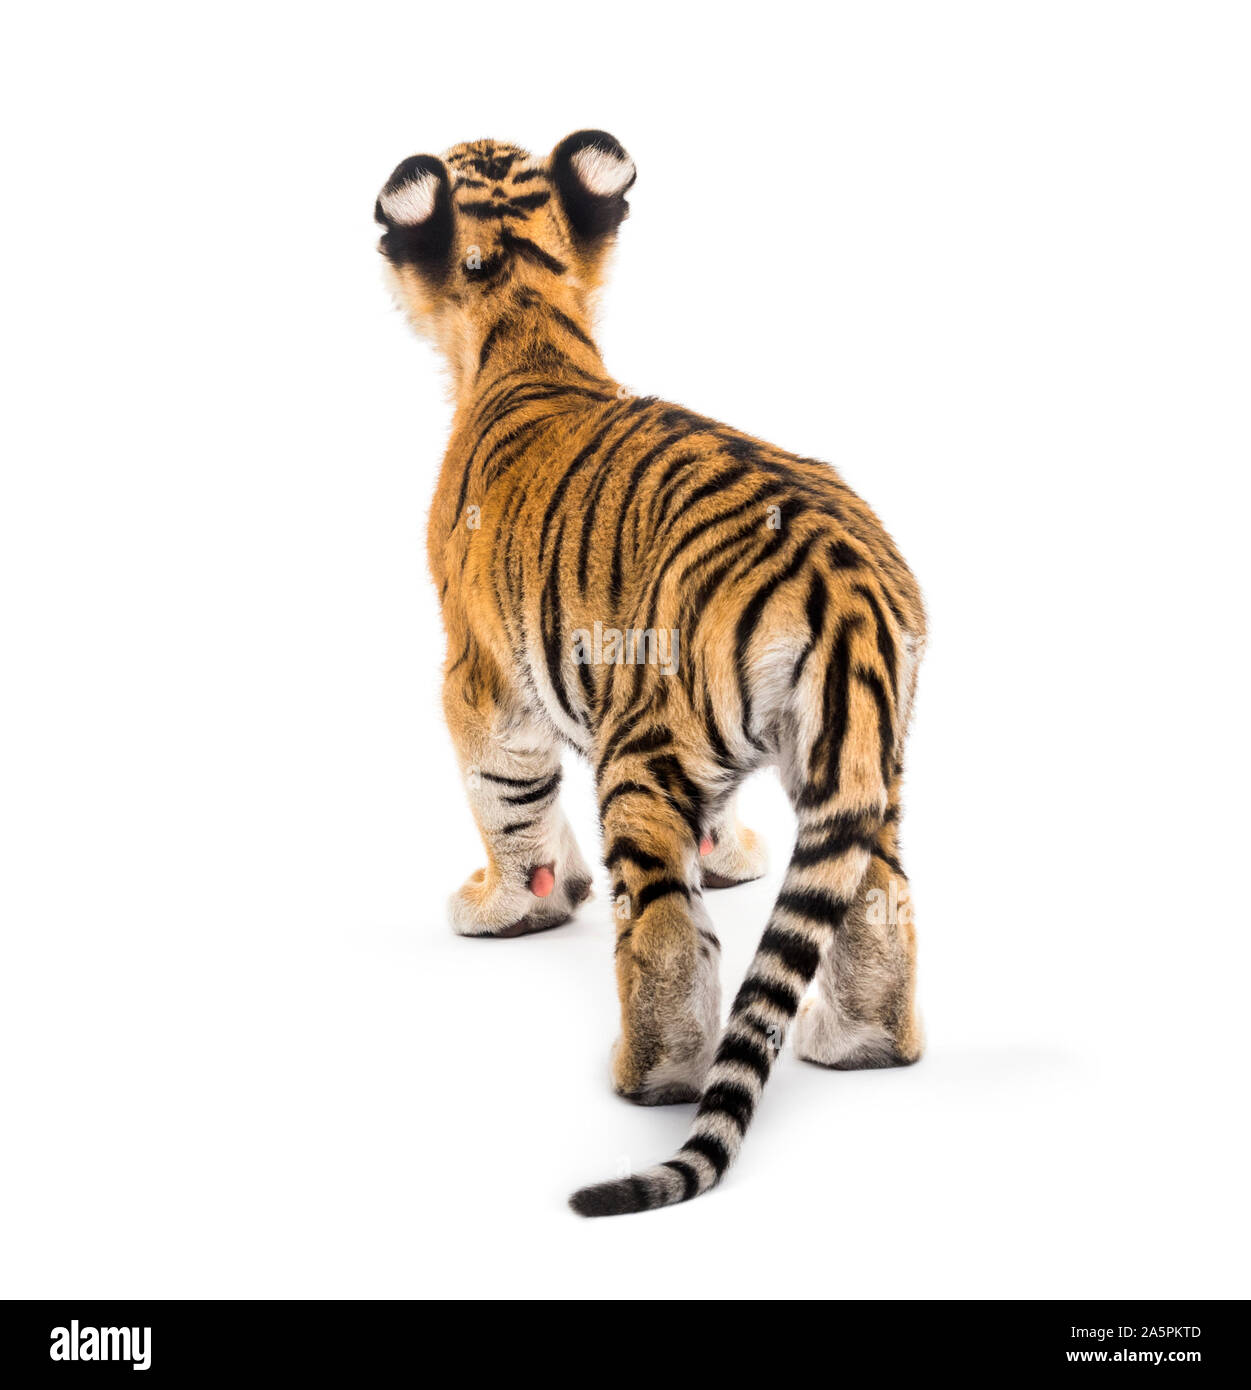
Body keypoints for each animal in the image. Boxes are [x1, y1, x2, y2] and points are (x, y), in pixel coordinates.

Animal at [376, 130, 926, 1216]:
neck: (527, 320)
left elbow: (505, 797)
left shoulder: (480, 673)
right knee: (880, 903)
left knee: (667, 932)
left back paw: (647, 1074)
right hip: (872, 760)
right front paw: (734, 855)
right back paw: (858, 1046)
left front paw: (509, 908)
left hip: (640, 748)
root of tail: (840, 580)